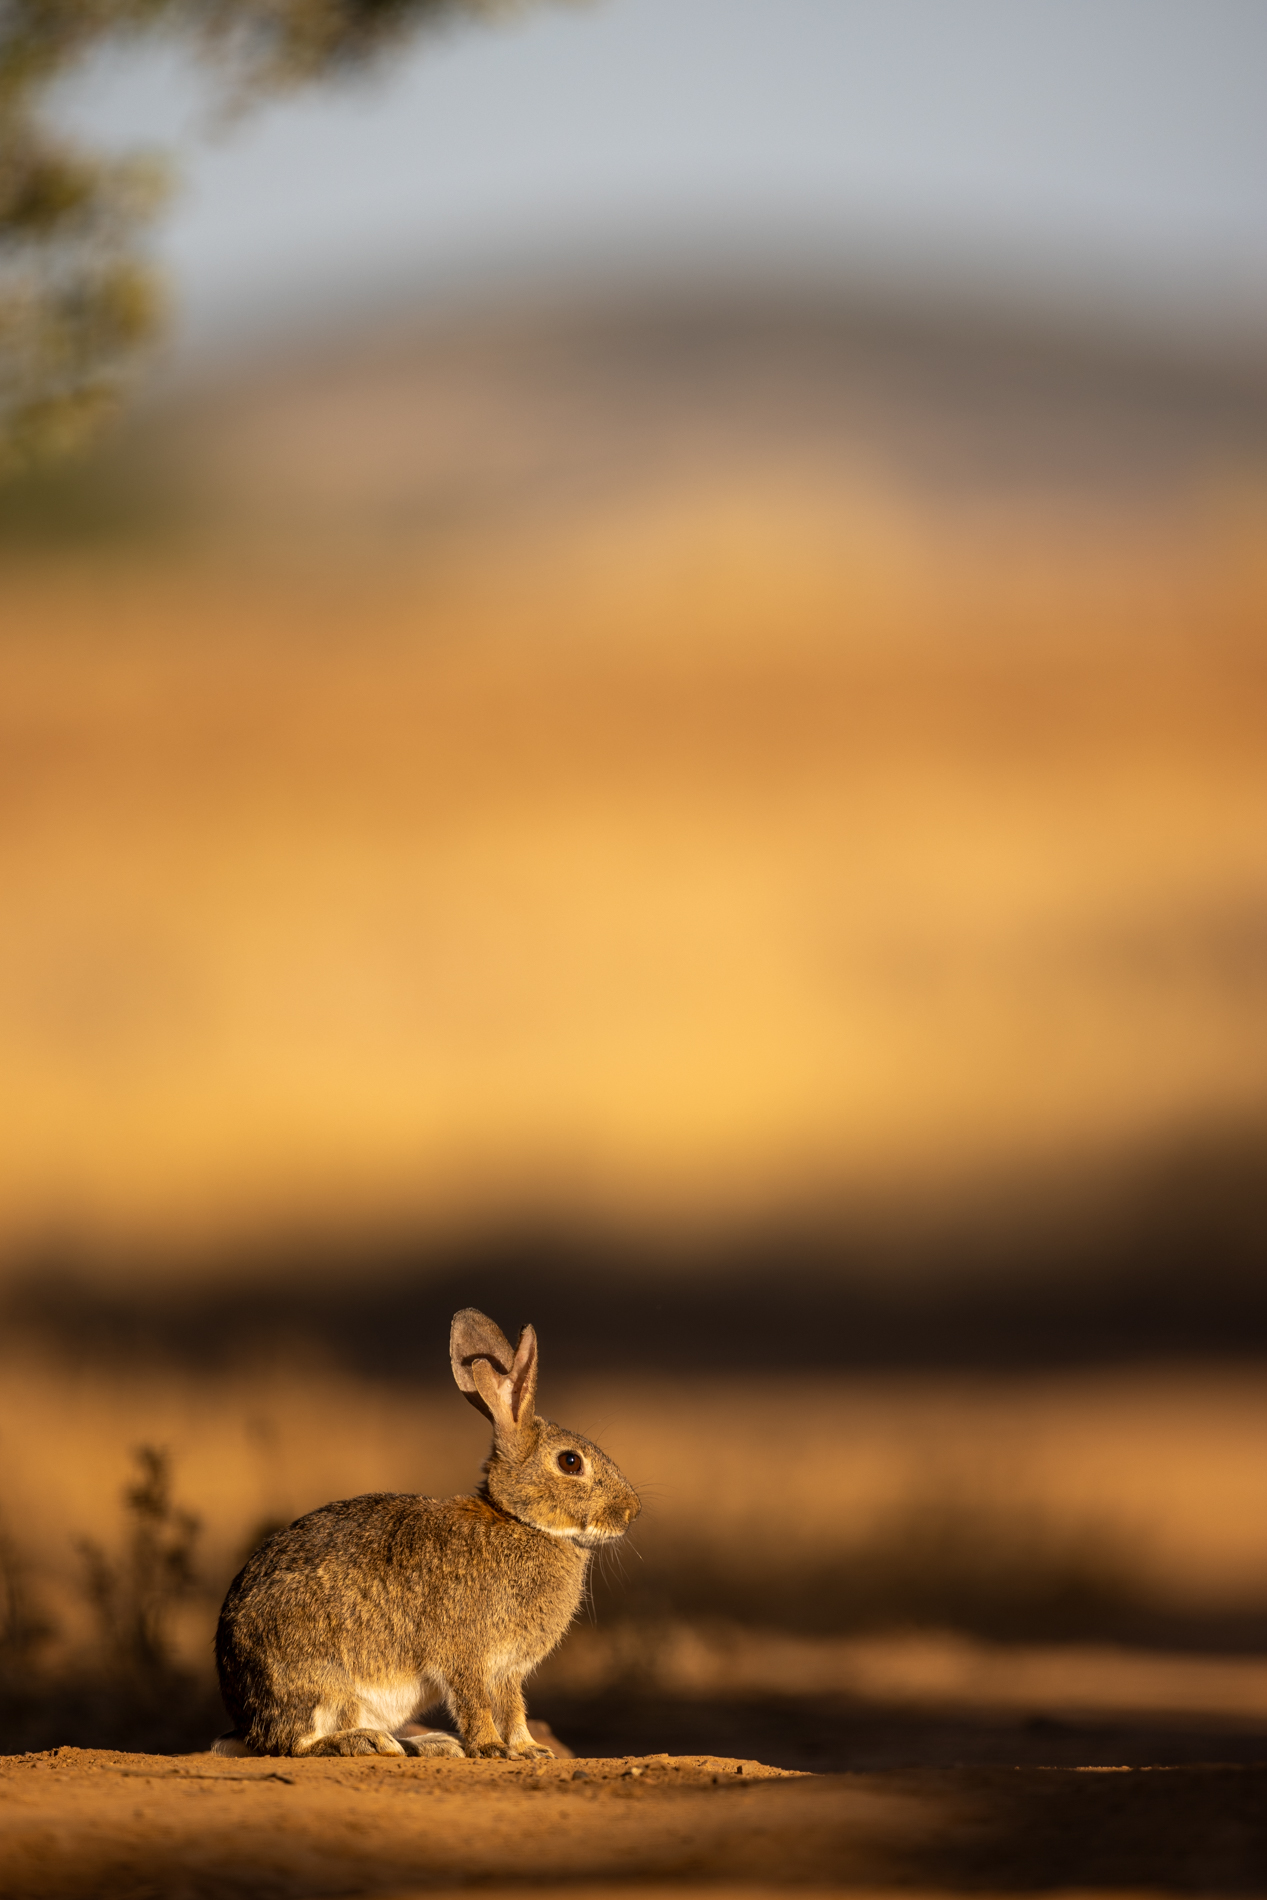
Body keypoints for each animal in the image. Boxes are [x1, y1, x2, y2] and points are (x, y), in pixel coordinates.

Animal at [212, 1306, 640, 1759]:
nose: (630, 1511)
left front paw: (529, 1750)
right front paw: (492, 1748)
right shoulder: (465, 1653)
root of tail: (243, 1720)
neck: (520, 1521)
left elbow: (513, 1707)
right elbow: (475, 1702)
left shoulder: (508, 1670)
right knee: (295, 1742)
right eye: (570, 1462)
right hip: (315, 1679)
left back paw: (429, 1743)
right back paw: (366, 1741)